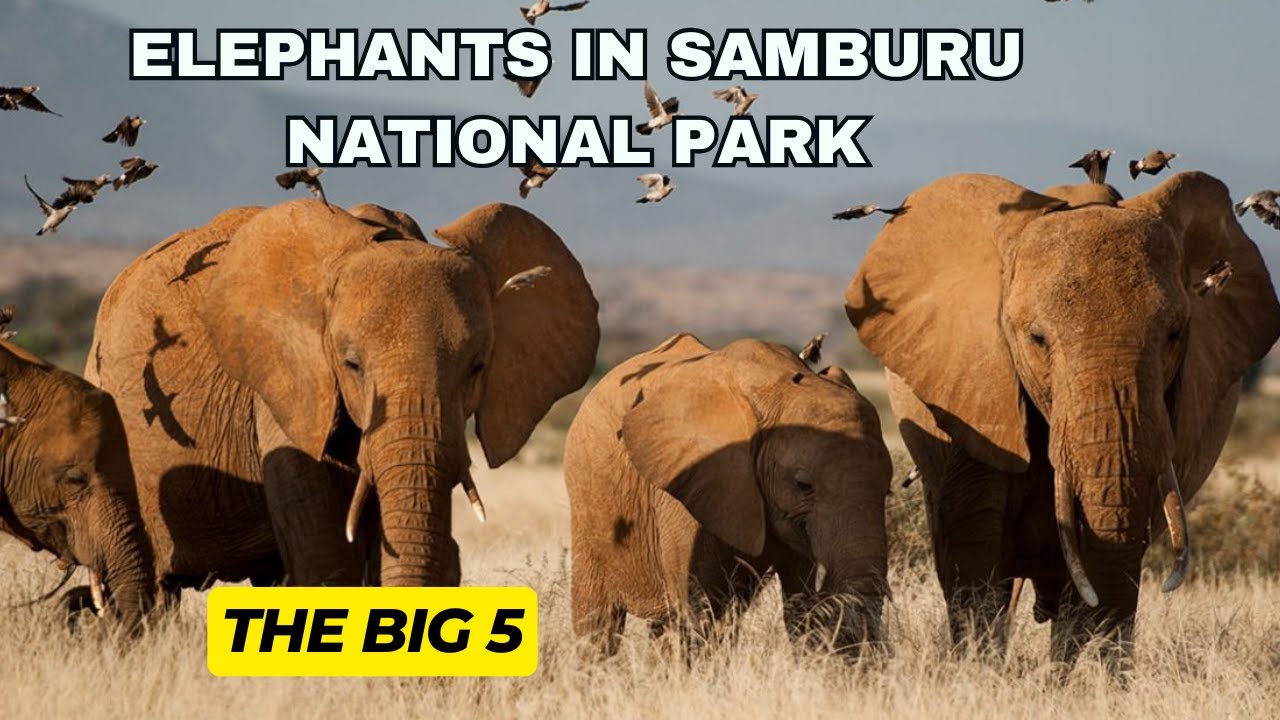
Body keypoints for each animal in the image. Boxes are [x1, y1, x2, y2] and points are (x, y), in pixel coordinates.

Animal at [564, 334, 892, 657]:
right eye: (803, 485)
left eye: (888, 488)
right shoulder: (688, 485)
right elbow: (700, 606)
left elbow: (796, 600)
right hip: (586, 499)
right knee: (599, 622)